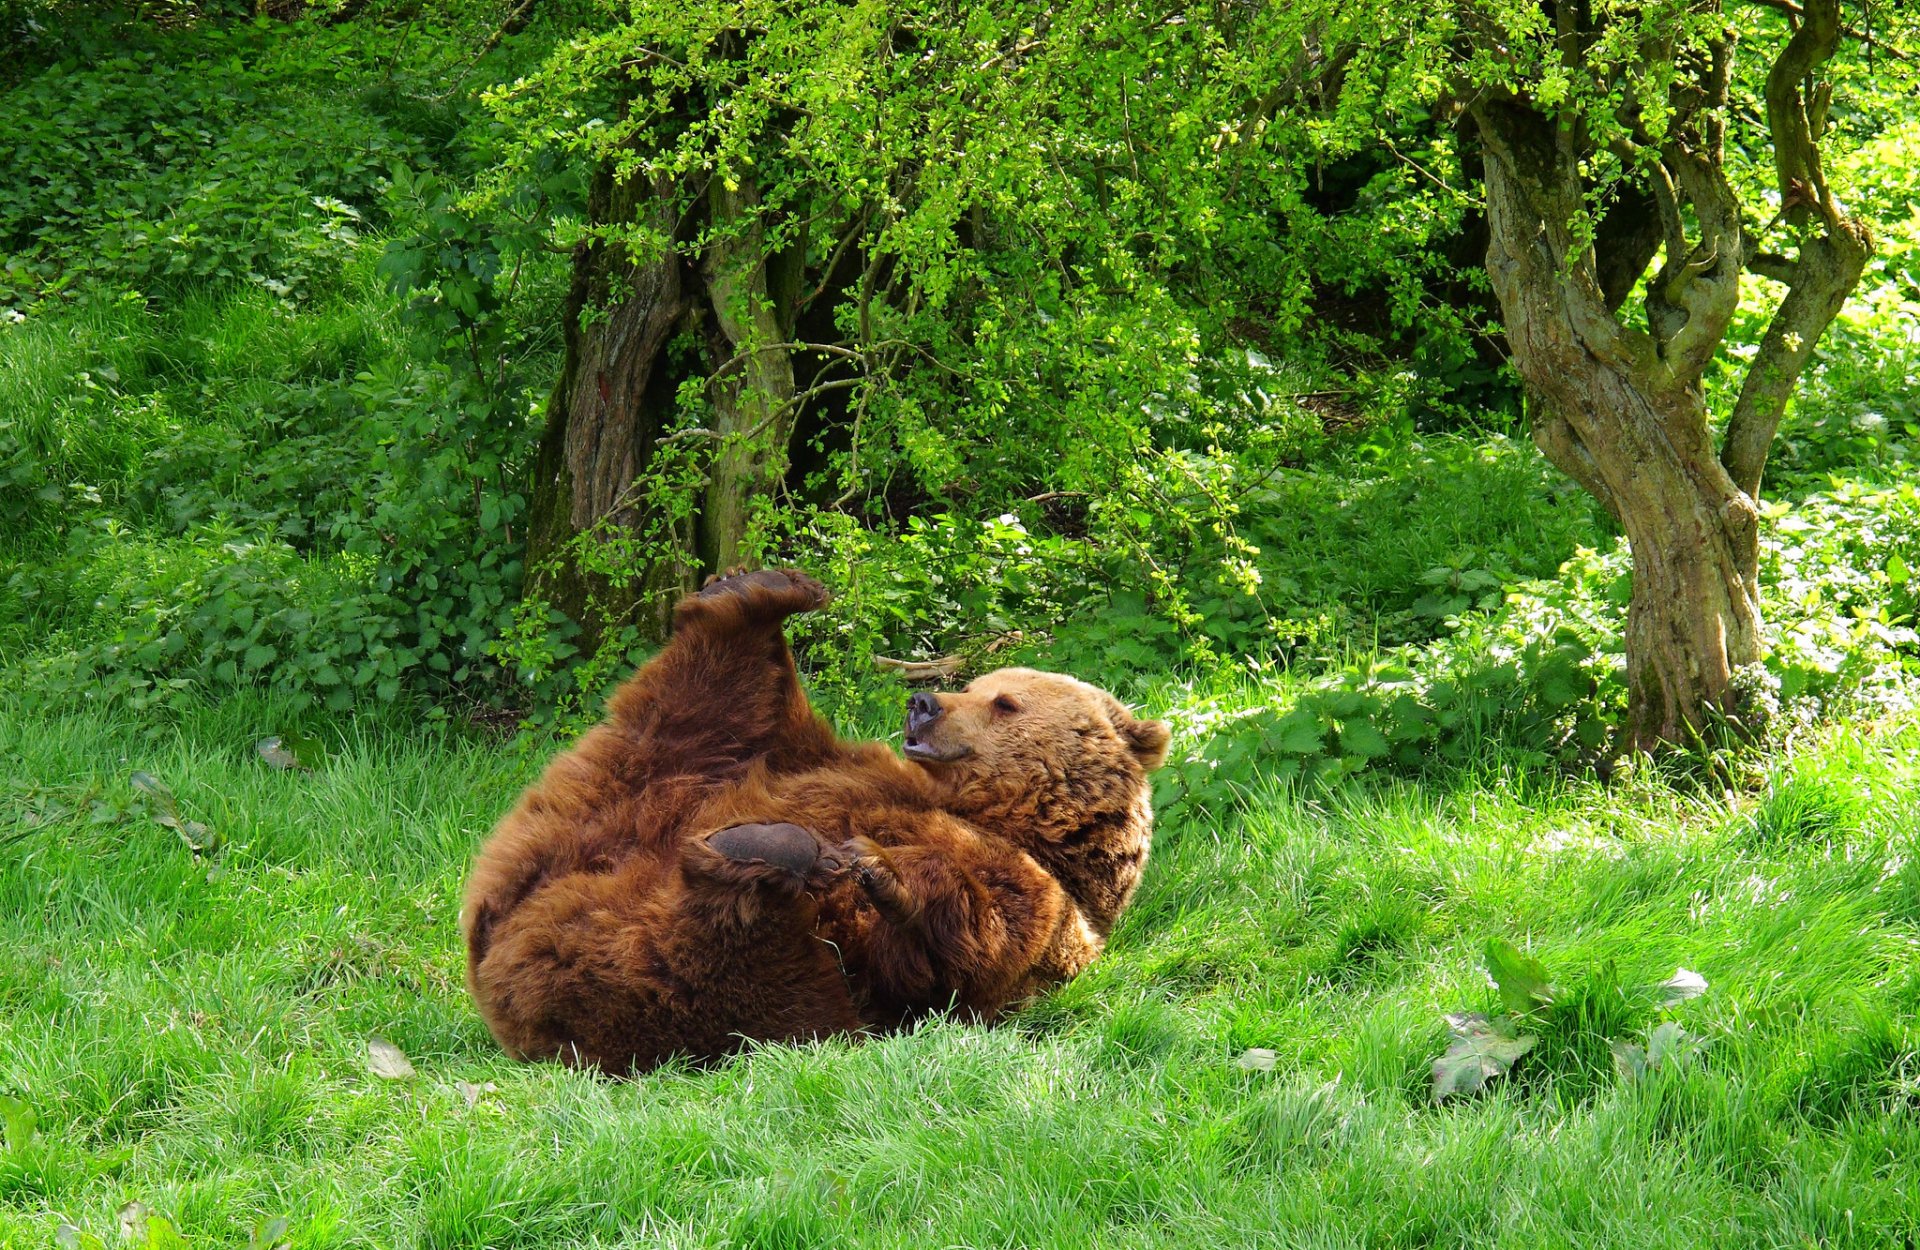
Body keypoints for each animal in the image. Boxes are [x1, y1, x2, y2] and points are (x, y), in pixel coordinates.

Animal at [460, 568, 1169, 1073]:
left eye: (1005, 702)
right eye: (975, 685)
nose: (923, 702)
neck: (1000, 813)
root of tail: (496, 951)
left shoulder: (1042, 907)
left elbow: (967, 943)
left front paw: (880, 867)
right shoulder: (846, 763)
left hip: (744, 991)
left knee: (711, 953)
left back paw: (765, 855)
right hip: (648, 789)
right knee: (705, 707)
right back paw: (750, 595)